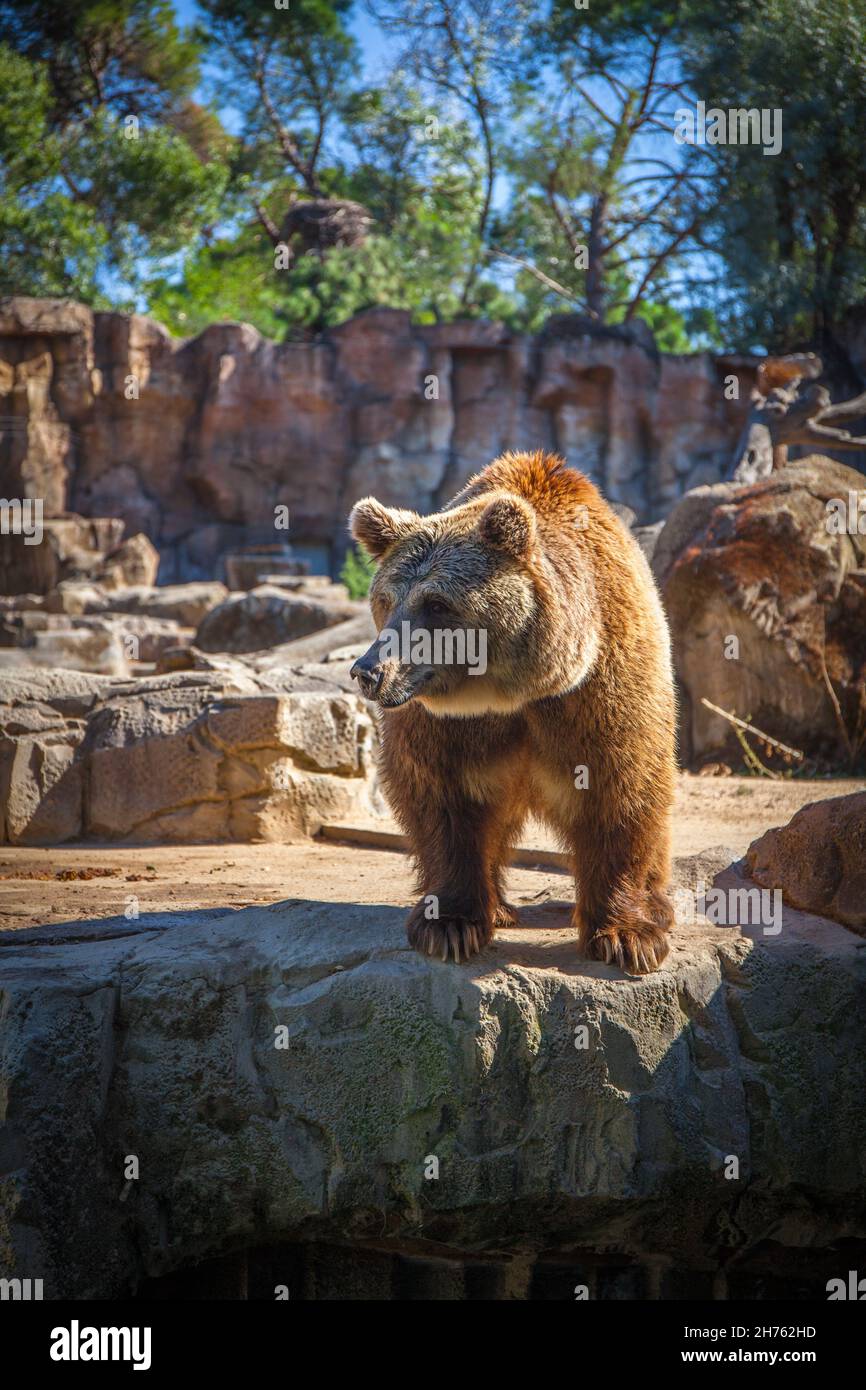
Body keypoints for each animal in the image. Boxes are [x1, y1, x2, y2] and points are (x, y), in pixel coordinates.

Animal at [348, 450, 677, 974]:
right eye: (386, 599)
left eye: (436, 603)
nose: (368, 670)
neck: (515, 693)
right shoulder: (442, 722)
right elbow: (440, 797)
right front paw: (450, 925)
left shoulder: (601, 688)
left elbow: (621, 791)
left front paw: (627, 936)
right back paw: (497, 906)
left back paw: (658, 908)